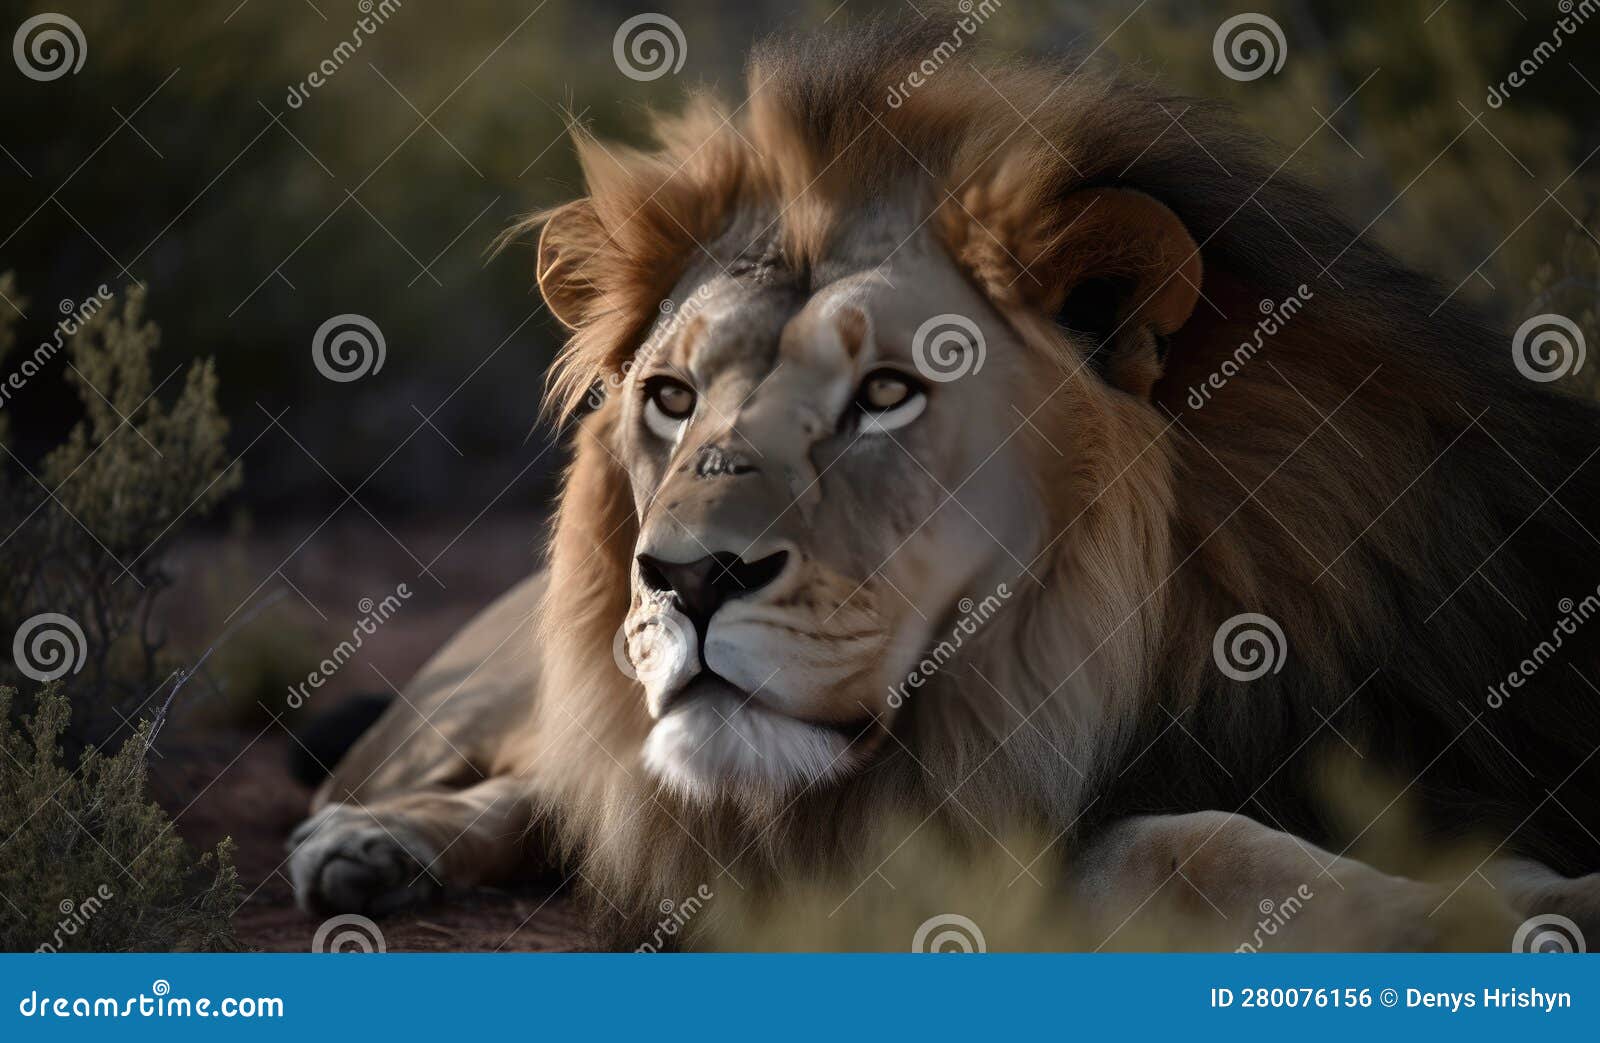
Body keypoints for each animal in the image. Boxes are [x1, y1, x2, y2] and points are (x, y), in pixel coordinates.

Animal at [287, 18, 1600, 950]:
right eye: (670, 396)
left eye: (885, 392)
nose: (681, 578)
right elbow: (1176, 847)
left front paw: (1537, 902)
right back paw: (369, 841)